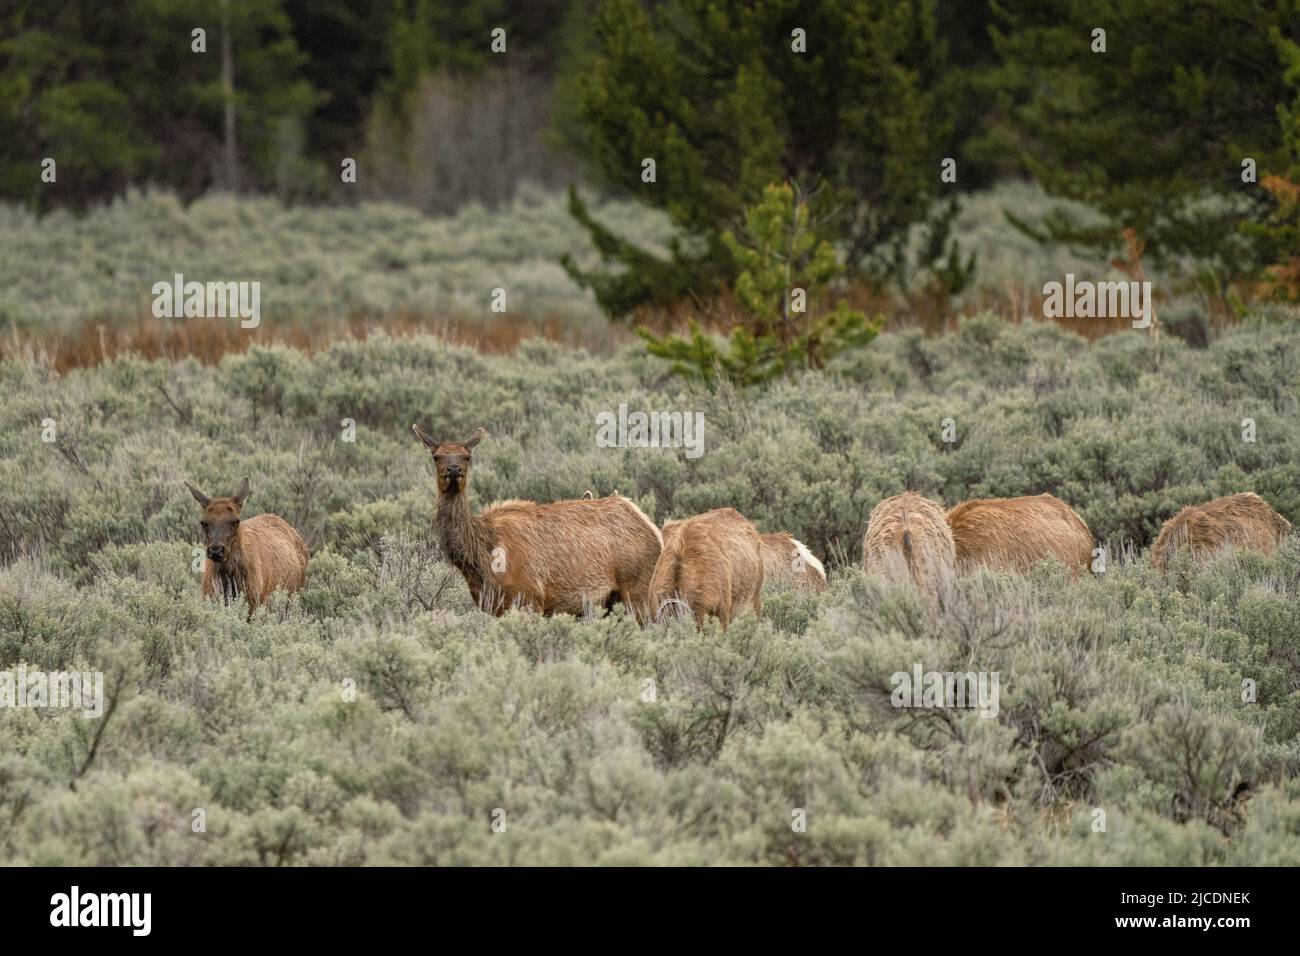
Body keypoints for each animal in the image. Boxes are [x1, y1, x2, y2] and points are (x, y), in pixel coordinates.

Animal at [412, 425, 662, 619]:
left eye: (467, 456)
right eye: (436, 456)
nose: (454, 470)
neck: (481, 558)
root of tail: (654, 531)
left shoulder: (529, 598)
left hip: (638, 590)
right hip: (613, 601)